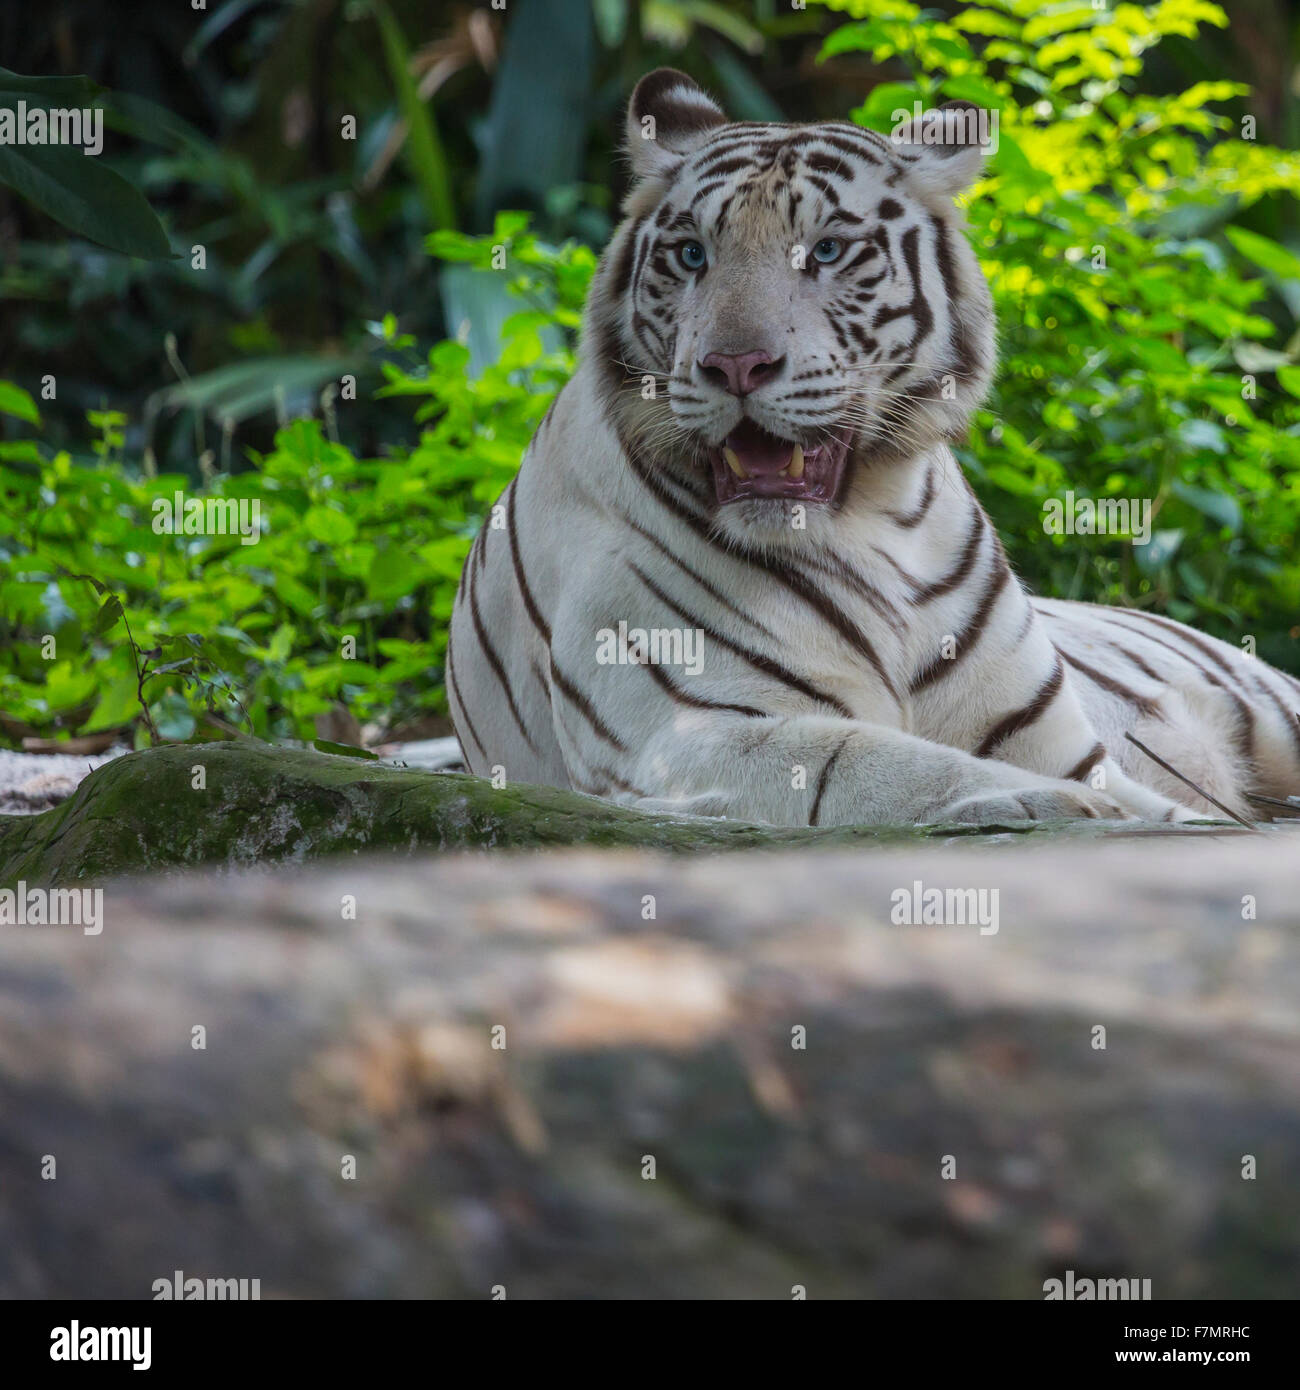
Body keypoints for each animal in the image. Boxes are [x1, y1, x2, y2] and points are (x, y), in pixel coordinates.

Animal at [446, 67, 1300, 827]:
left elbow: (1156, 804)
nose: (735, 365)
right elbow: (880, 762)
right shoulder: (686, 729)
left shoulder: (1060, 742)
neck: (877, 518)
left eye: (825, 252)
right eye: (692, 255)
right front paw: (1050, 806)